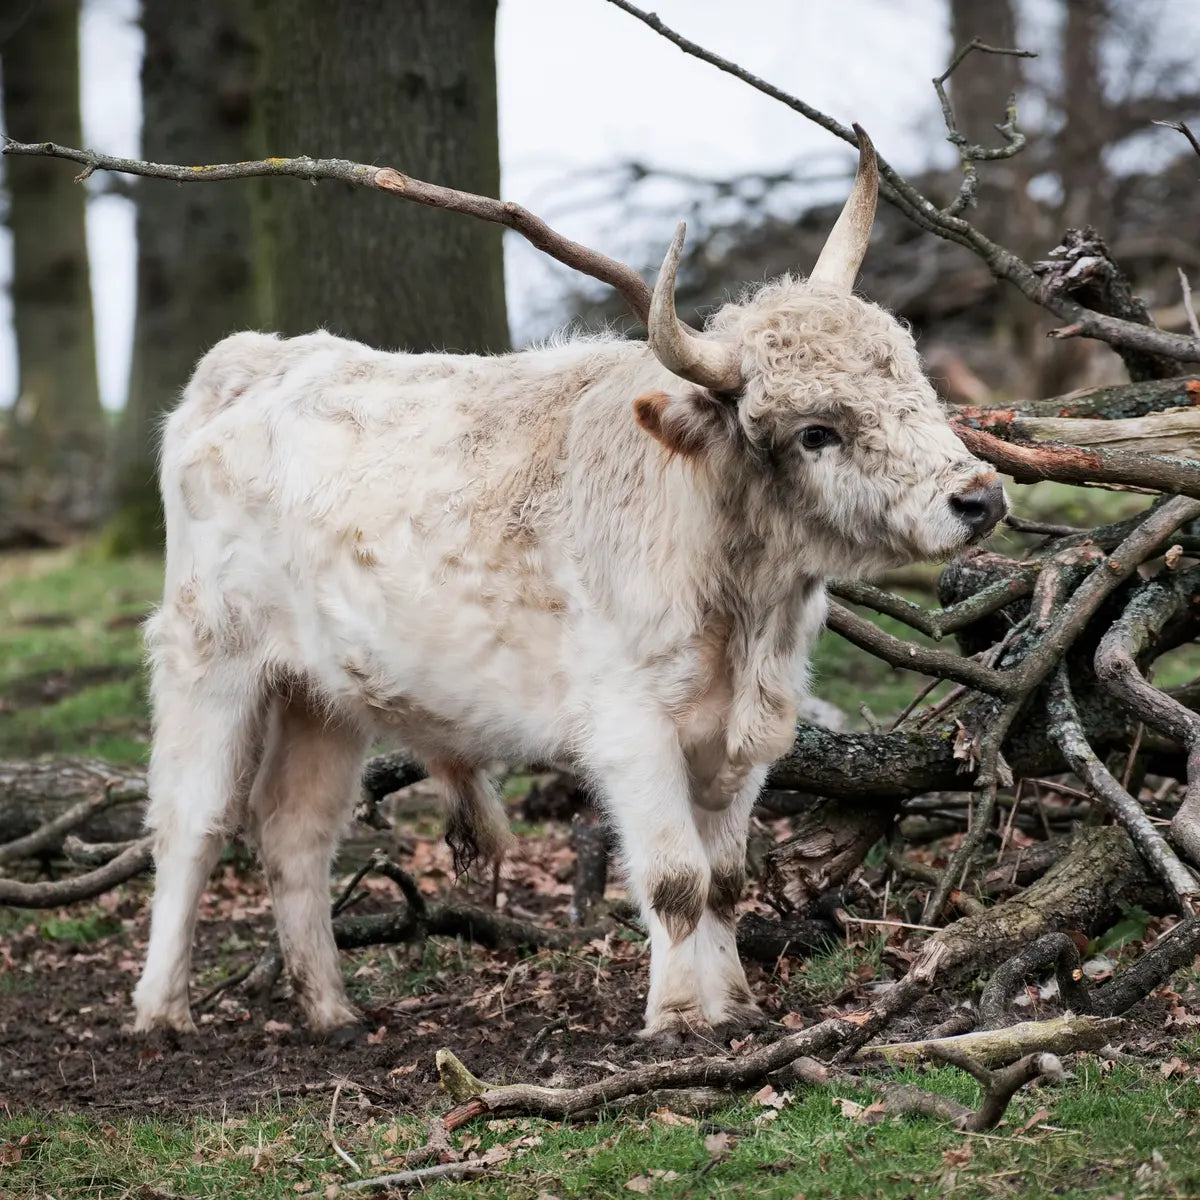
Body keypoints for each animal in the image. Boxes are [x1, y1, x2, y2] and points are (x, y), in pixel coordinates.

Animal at [132, 131, 1006, 1041]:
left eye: (912, 380)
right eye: (816, 433)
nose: (979, 498)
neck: (745, 613)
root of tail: (255, 359)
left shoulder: (748, 742)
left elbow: (726, 880)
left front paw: (736, 1006)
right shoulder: (631, 730)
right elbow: (676, 881)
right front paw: (678, 1019)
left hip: (321, 696)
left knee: (295, 832)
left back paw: (331, 1009)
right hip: (211, 658)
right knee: (191, 823)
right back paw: (162, 1009)